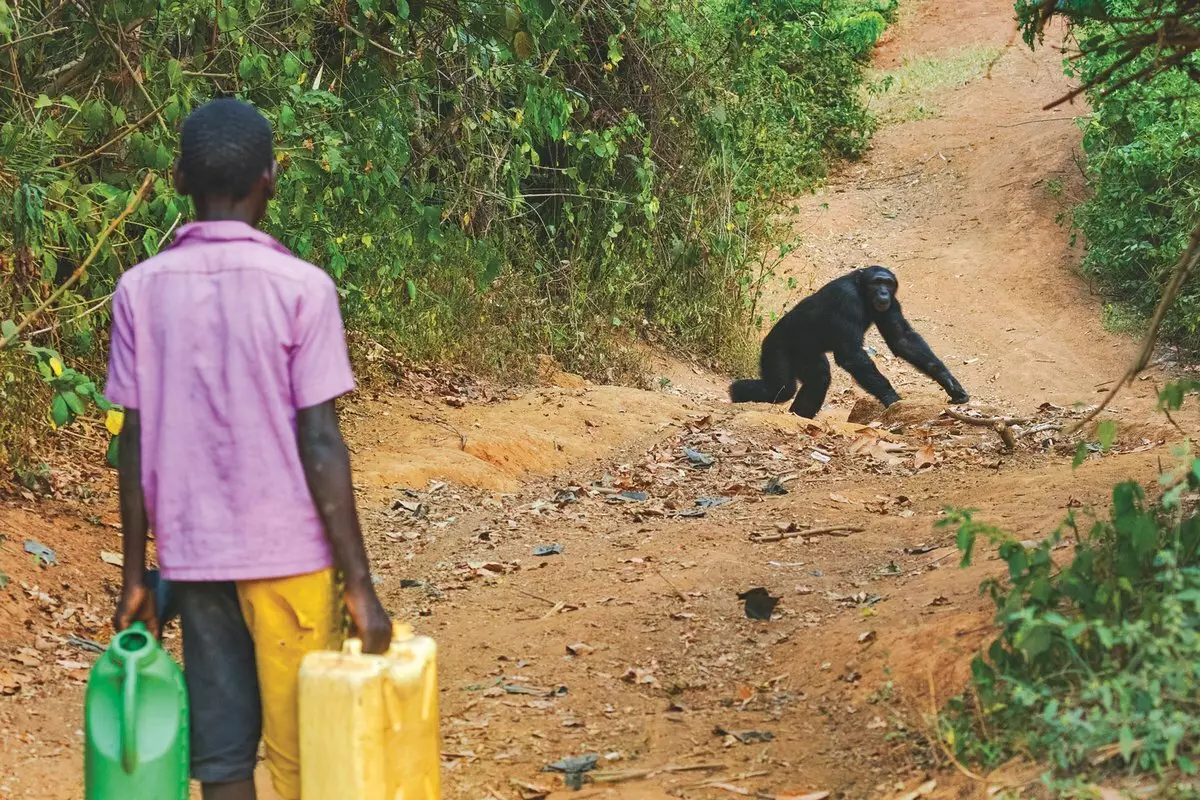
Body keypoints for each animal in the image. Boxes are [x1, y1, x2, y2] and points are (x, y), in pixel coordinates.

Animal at [724, 267, 969, 419]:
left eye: (888, 283)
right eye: (877, 282)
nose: (883, 292)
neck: (862, 292)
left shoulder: (892, 304)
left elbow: (902, 339)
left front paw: (949, 382)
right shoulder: (846, 300)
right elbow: (851, 354)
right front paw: (892, 398)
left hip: (806, 354)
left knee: (817, 379)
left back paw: (799, 416)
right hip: (776, 348)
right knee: (780, 387)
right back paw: (734, 393)